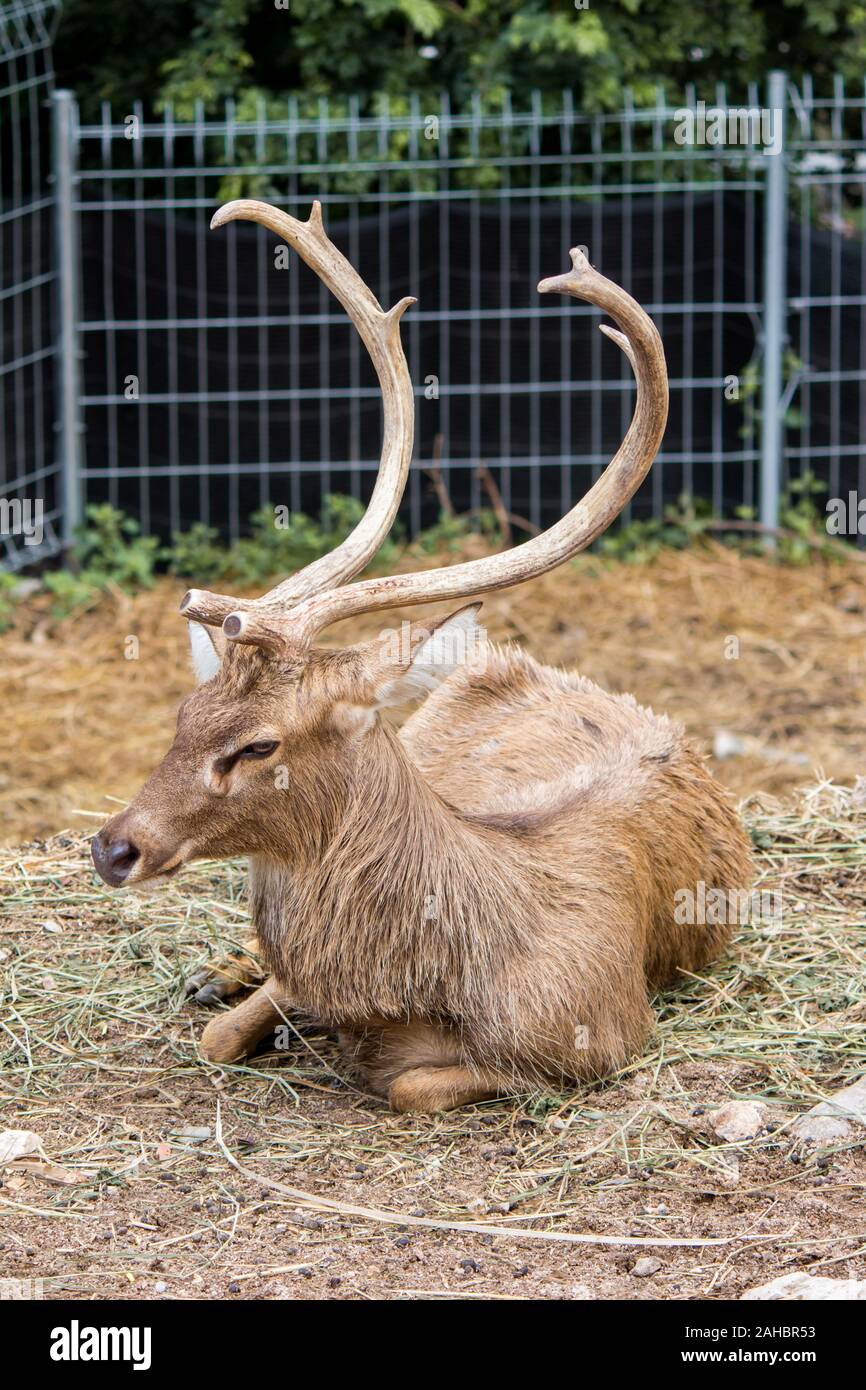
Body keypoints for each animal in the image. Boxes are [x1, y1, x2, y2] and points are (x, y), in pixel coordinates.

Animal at [91, 200, 752, 1113]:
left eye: (258, 745)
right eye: (183, 715)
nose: (111, 847)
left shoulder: (608, 1031)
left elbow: (410, 1086)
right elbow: (220, 1036)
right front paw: (227, 991)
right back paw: (217, 971)